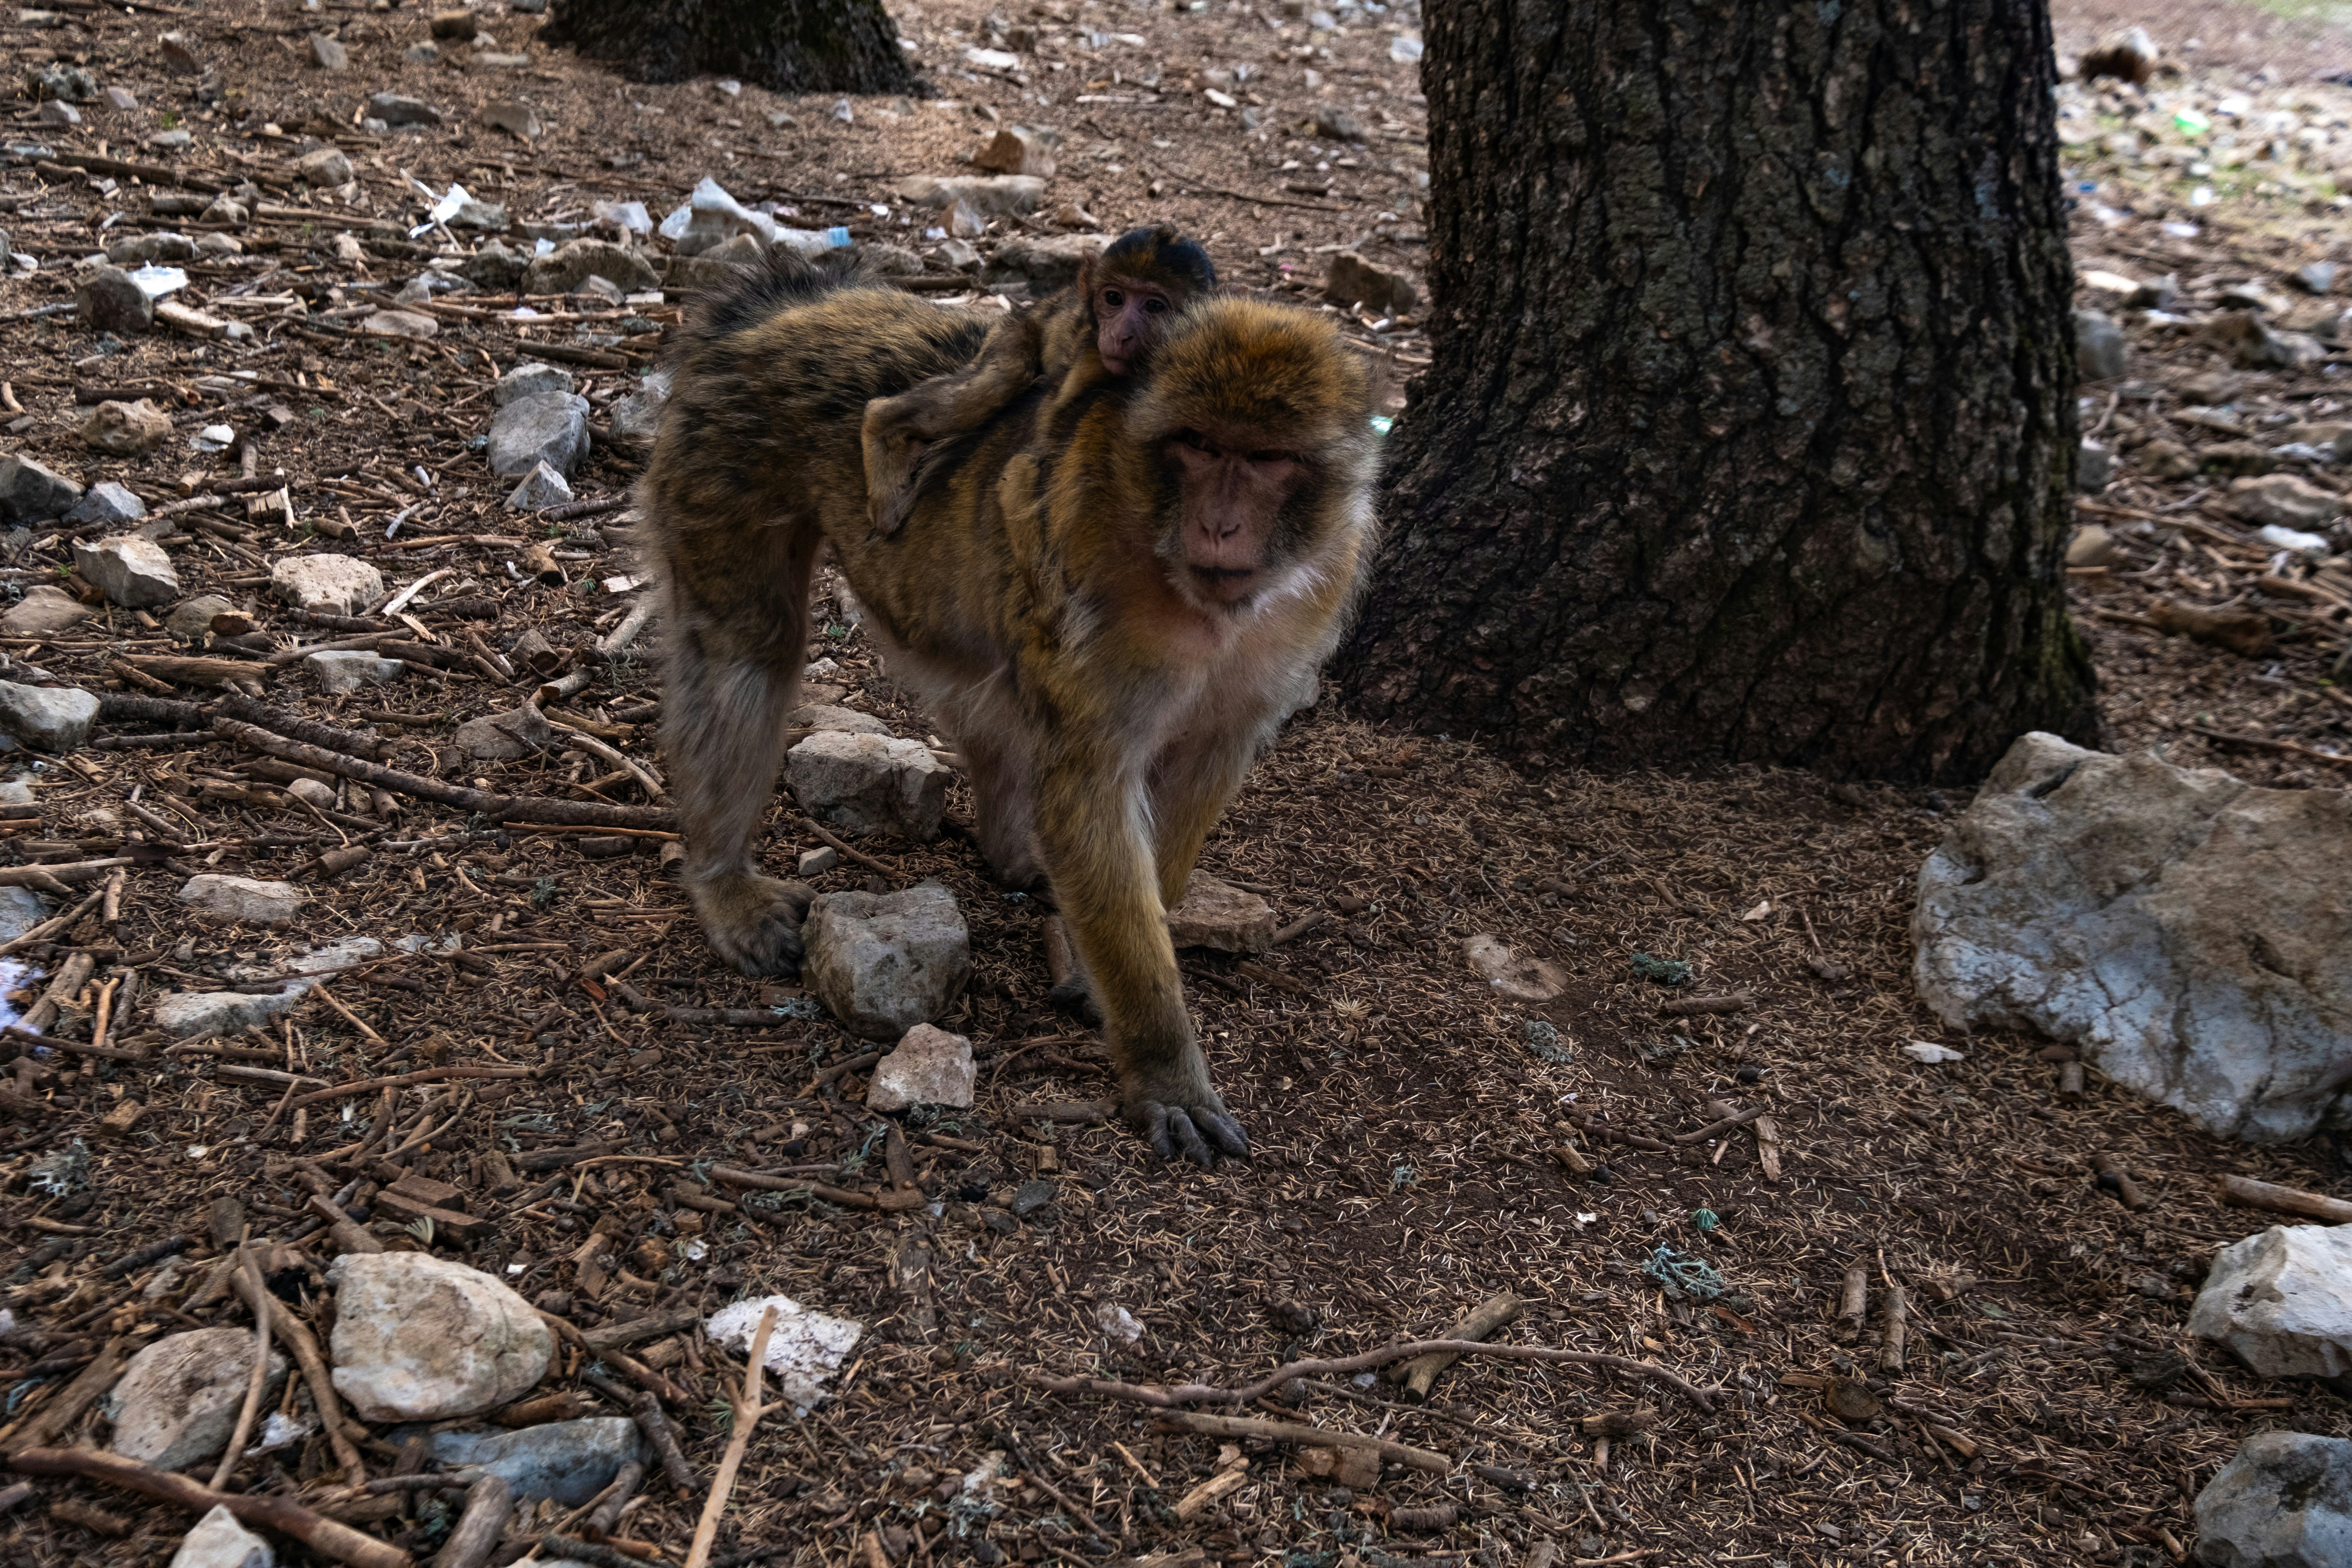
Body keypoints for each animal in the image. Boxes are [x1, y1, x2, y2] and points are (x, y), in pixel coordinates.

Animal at [858, 224, 1218, 537]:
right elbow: (1041, 454)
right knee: (1004, 377)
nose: (1121, 335)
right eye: (1114, 299)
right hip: (1016, 326)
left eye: (1155, 306)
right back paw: (881, 424)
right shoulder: (1090, 355)